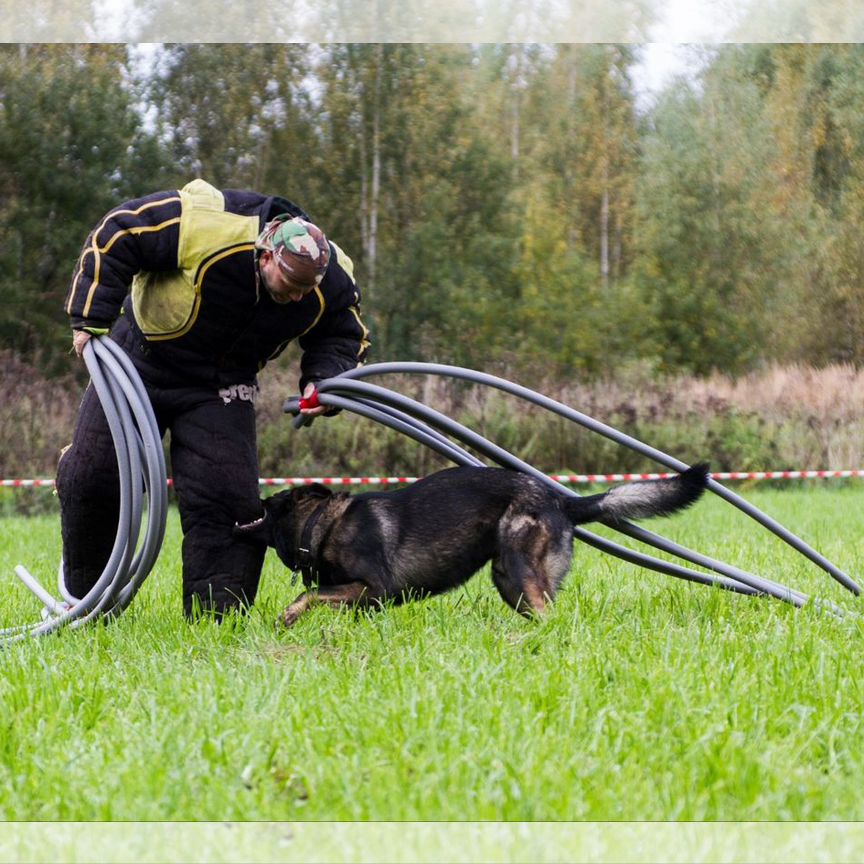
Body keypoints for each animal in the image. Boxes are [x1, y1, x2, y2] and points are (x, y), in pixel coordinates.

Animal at [236, 462, 708, 624]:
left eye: (268, 505)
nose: (250, 493)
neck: (322, 526)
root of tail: (561, 500)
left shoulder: (373, 586)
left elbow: (313, 594)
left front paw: (287, 617)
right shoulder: (365, 599)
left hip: (518, 567)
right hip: (509, 581)